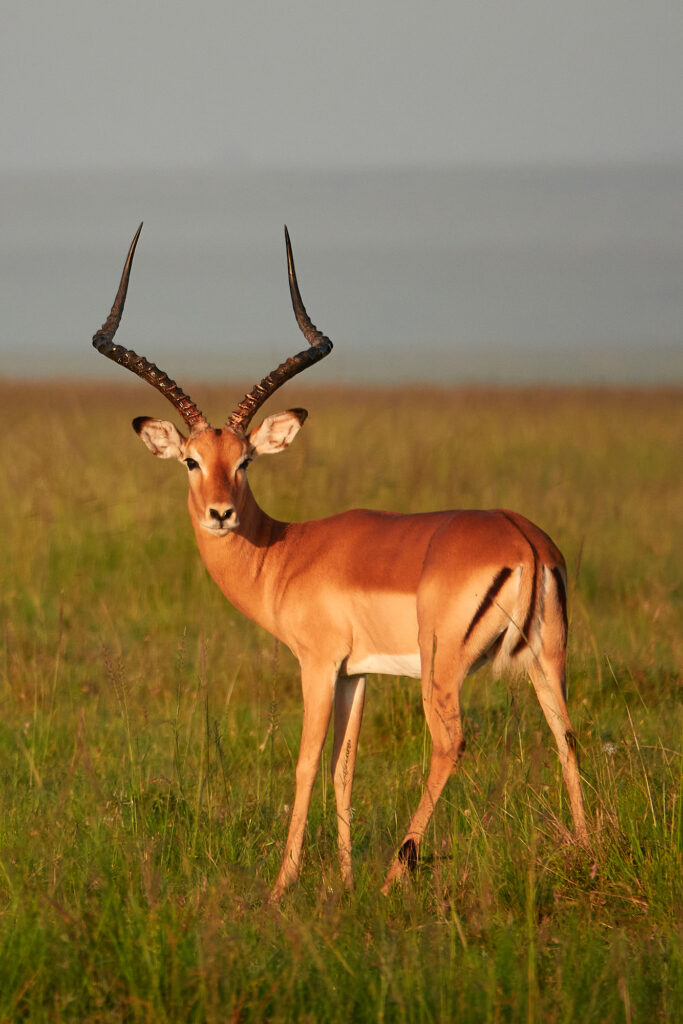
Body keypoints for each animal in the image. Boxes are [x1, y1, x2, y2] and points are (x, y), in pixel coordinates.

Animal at [92, 225, 589, 901]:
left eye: (245, 460)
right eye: (192, 460)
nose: (220, 513)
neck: (286, 552)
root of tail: (524, 540)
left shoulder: (319, 664)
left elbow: (305, 764)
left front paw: (282, 887)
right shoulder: (358, 673)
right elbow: (343, 768)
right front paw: (344, 881)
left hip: (442, 669)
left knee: (450, 744)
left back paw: (394, 874)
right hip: (546, 658)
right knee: (566, 736)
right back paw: (590, 853)